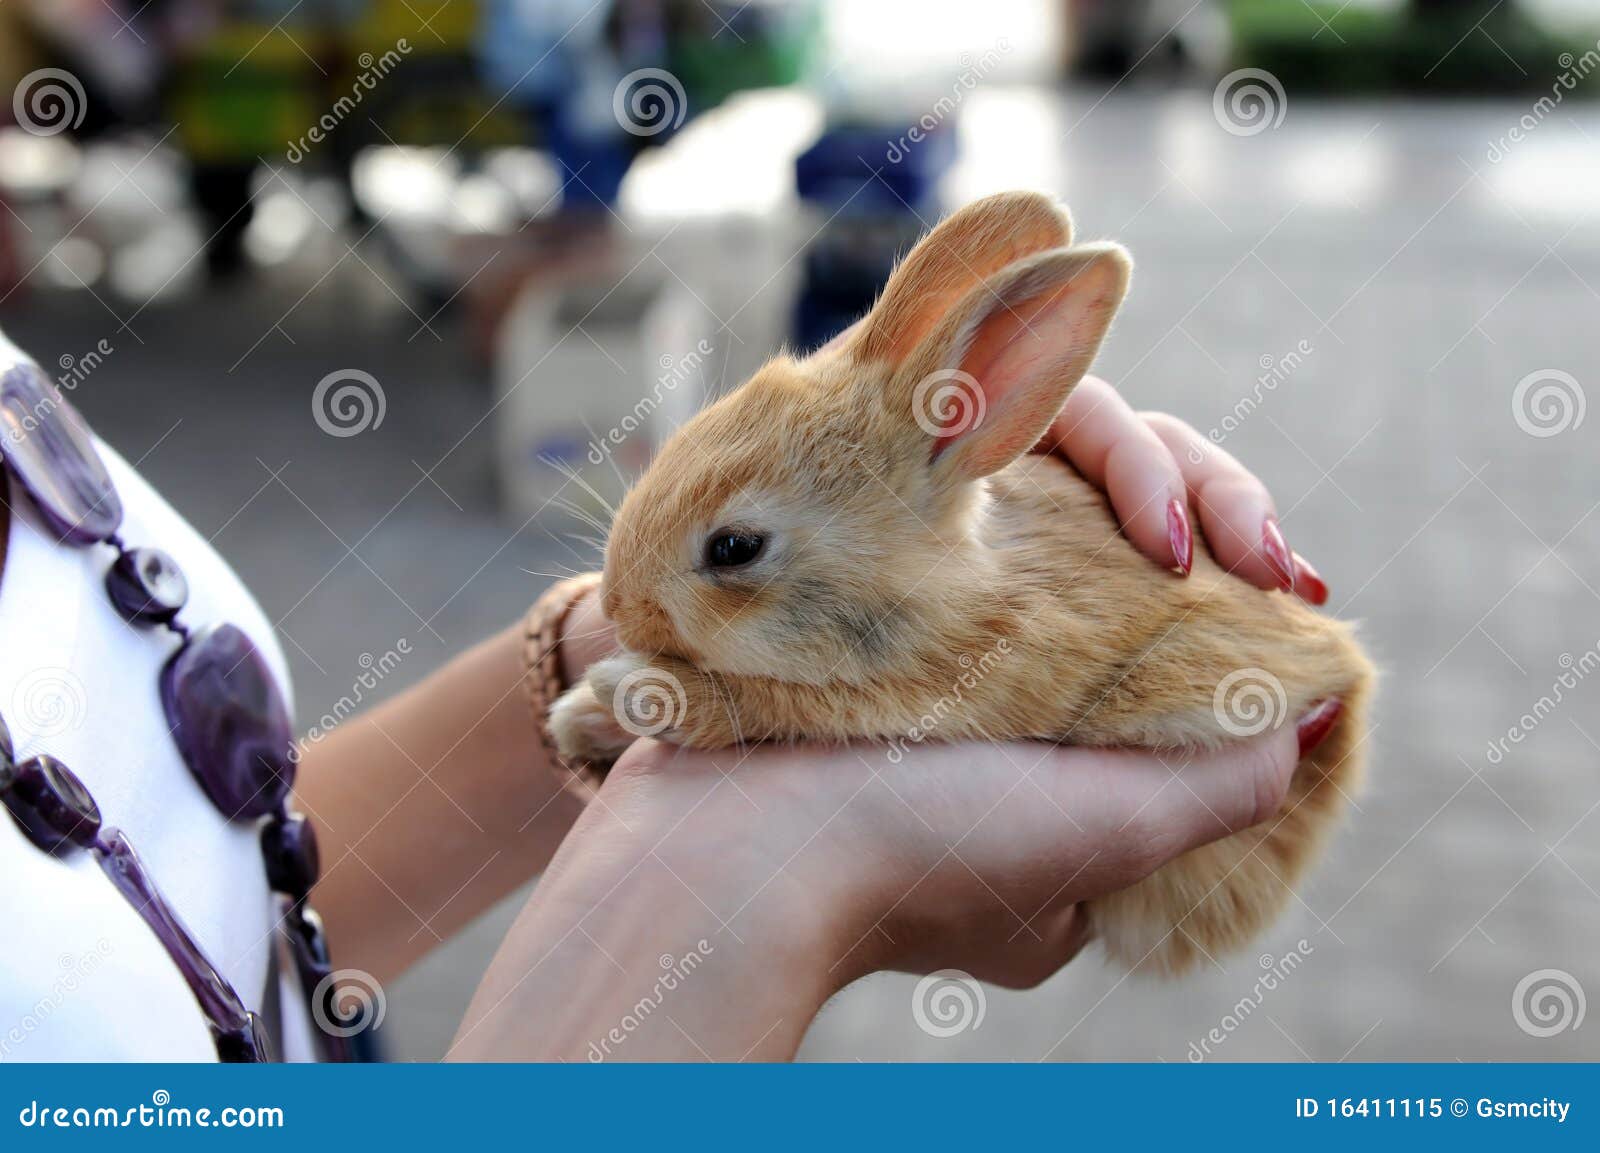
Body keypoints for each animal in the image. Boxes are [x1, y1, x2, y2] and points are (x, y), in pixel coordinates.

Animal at [549, 191, 1375, 975]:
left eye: (734, 547)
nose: (618, 605)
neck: (946, 592)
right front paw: (578, 715)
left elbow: (761, 704)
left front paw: (628, 691)